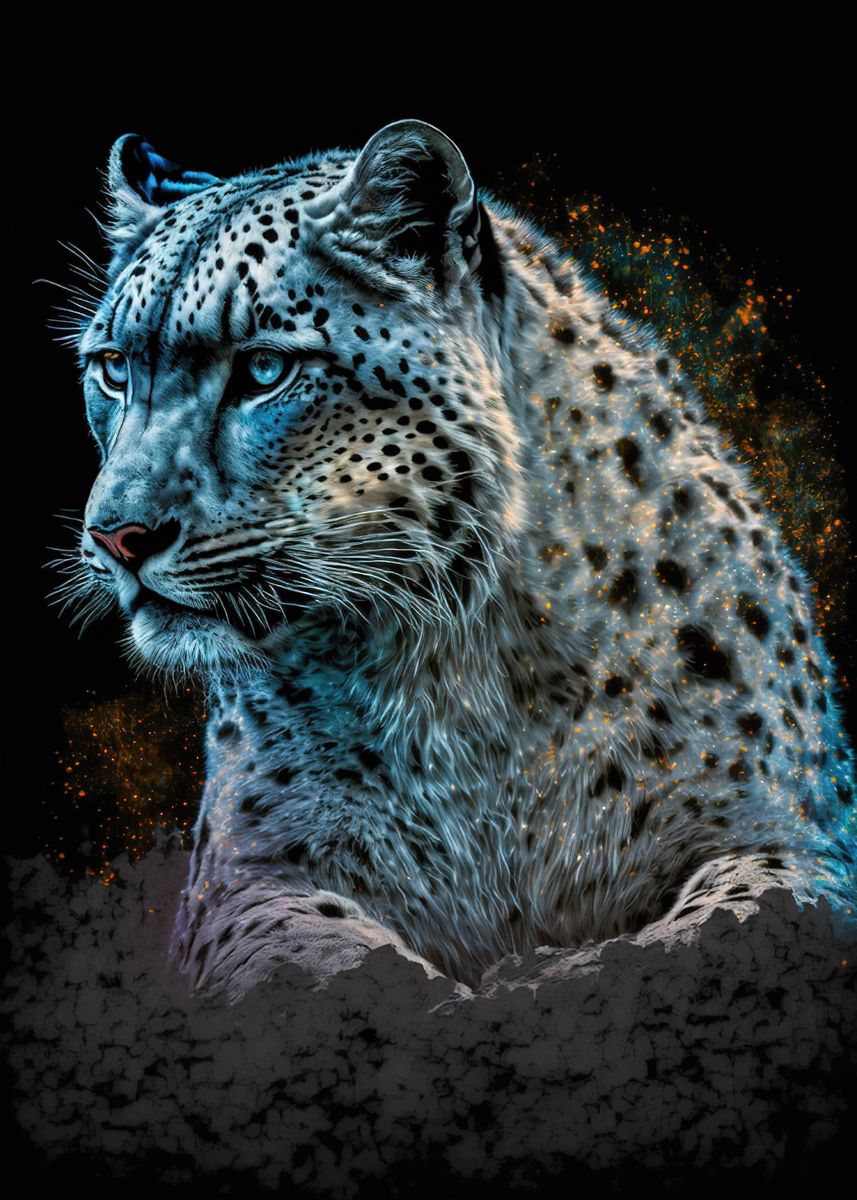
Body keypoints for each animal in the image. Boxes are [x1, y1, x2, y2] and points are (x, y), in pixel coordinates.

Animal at [60, 118, 856, 1001]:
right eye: (113, 368)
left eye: (265, 369)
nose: (117, 533)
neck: (469, 678)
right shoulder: (245, 878)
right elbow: (323, 960)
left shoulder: (786, 836)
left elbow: (729, 919)